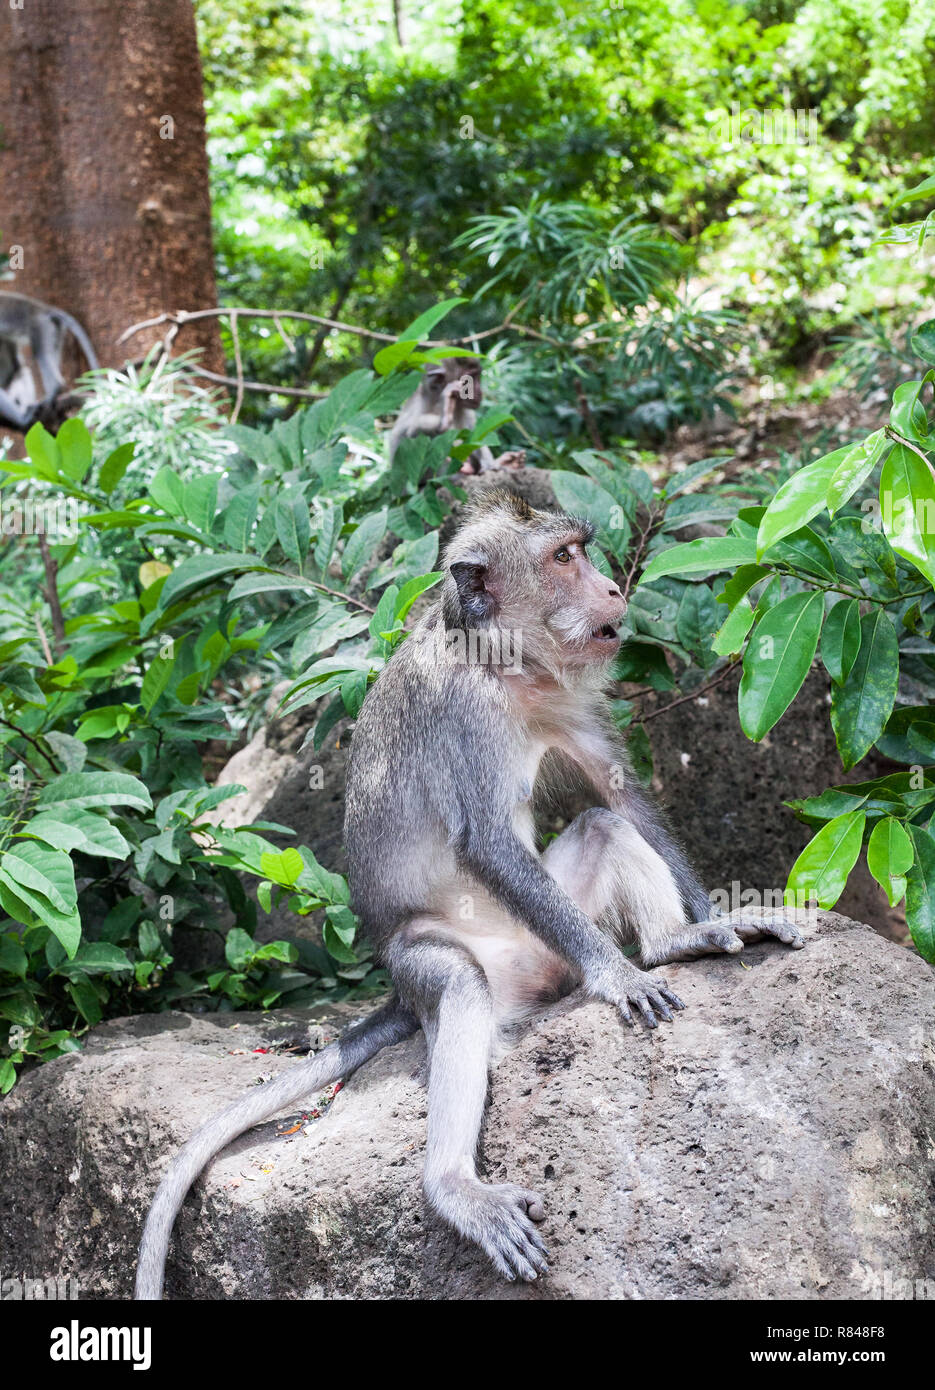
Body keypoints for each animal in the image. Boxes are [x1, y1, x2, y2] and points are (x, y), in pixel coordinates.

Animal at [0, 291, 99, 431]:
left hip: (40, 326)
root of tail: (43, 309)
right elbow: (15, 367)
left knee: (40, 354)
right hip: (56, 330)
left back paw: (26, 417)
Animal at [135, 488, 804, 1298]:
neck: (504, 664)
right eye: (563, 559)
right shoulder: (463, 713)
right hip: (427, 961)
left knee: (604, 826)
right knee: (456, 987)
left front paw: (718, 917)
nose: (614, 590)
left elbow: (622, 798)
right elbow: (485, 843)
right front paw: (614, 975)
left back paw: (673, 941)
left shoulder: (568, 697)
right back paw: (454, 1186)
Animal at [388, 356, 526, 474]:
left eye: (477, 376)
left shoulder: (466, 410)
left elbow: (476, 436)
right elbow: (407, 438)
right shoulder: (417, 404)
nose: (480, 391)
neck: (435, 400)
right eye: (470, 378)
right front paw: (445, 416)